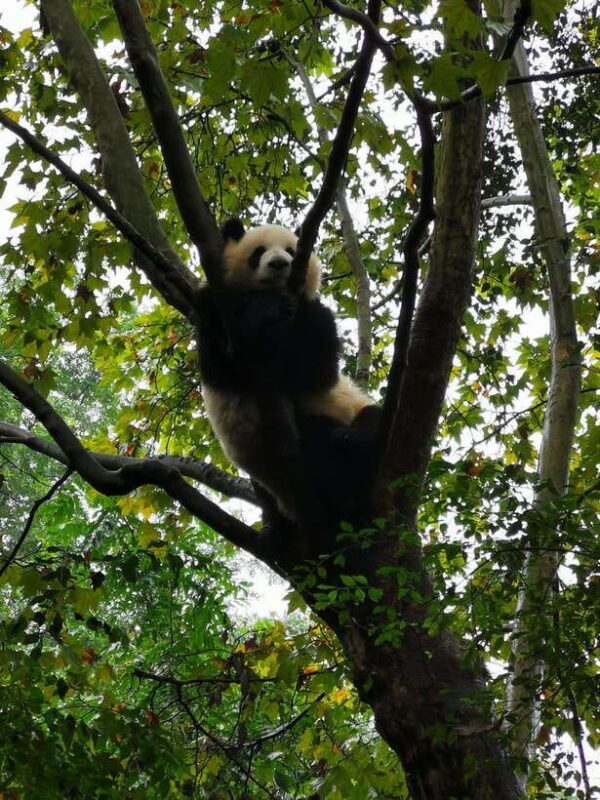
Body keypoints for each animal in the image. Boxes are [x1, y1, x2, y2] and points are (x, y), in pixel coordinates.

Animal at [195, 218, 379, 528]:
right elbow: (222, 366)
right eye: (259, 251)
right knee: (320, 442)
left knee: (371, 417)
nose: (280, 264)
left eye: (292, 251)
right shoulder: (213, 310)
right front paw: (265, 310)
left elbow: (318, 371)